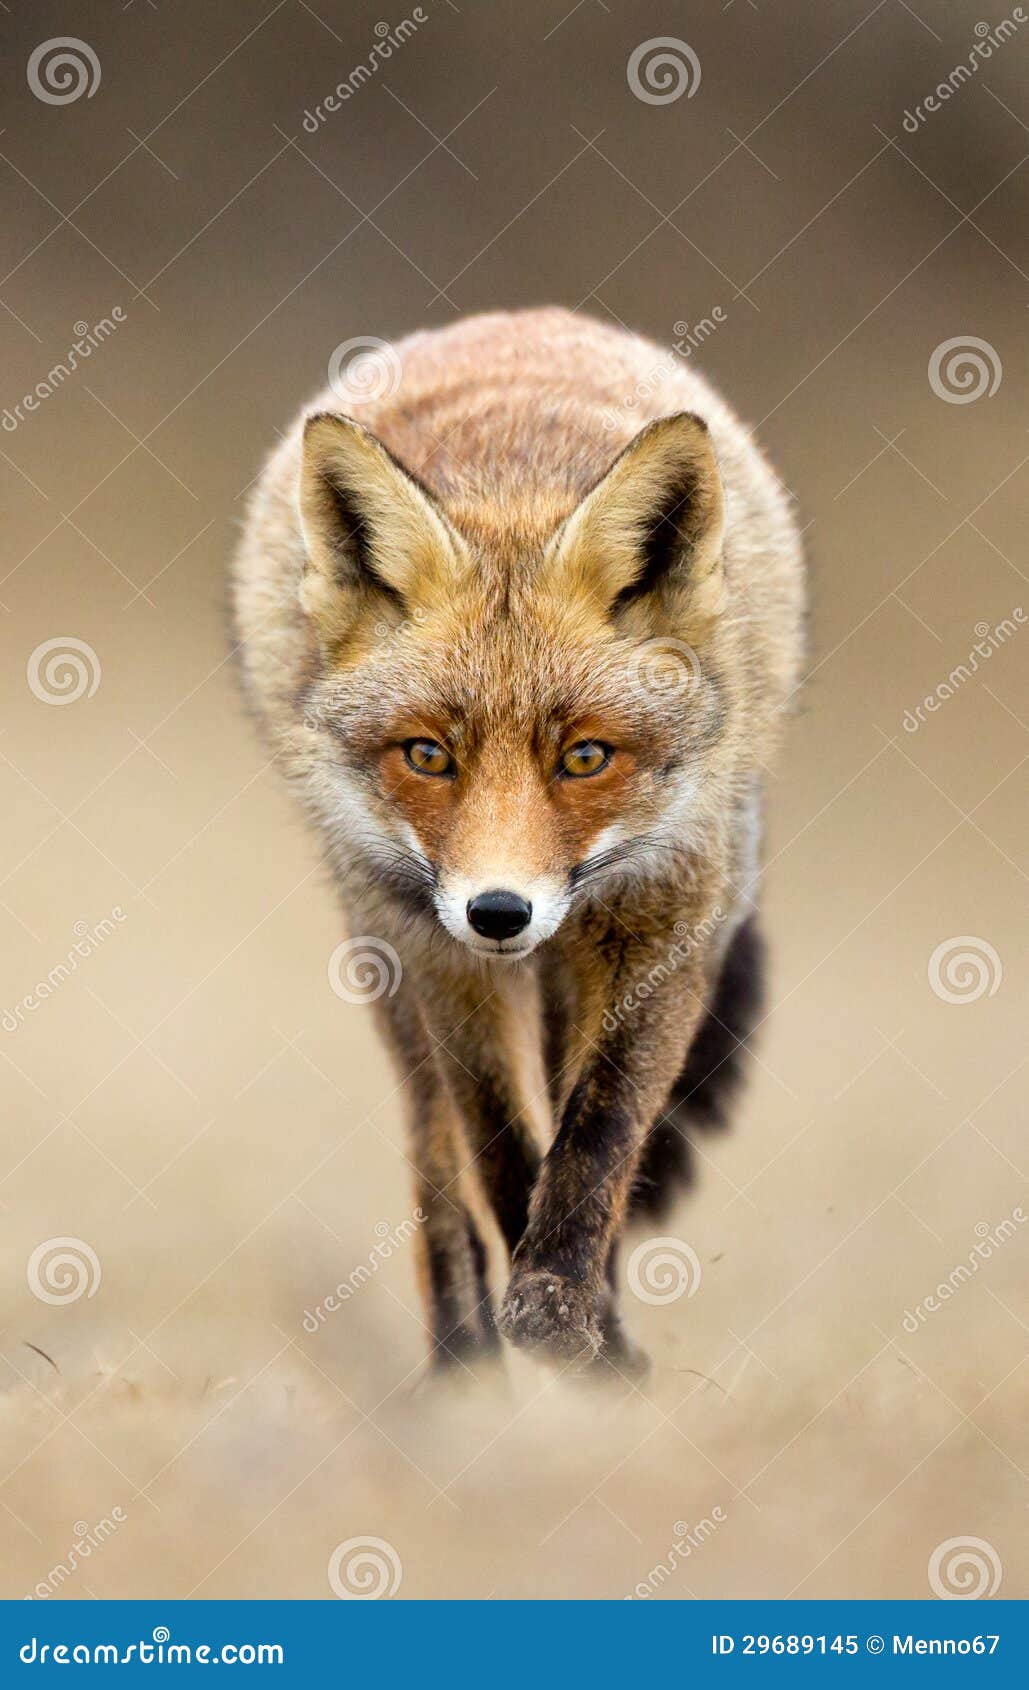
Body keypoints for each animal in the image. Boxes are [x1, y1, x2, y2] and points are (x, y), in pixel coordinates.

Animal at [231, 307, 805, 1378]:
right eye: (427, 754)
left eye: (584, 756)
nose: (499, 911)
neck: (511, 481)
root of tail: (511, 321)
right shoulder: (434, 951)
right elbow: (497, 1143)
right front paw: (537, 1327)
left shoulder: (667, 916)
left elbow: (599, 1130)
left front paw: (572, 1317)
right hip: (385, 948)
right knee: (434, 1155)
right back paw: (460, 1365)